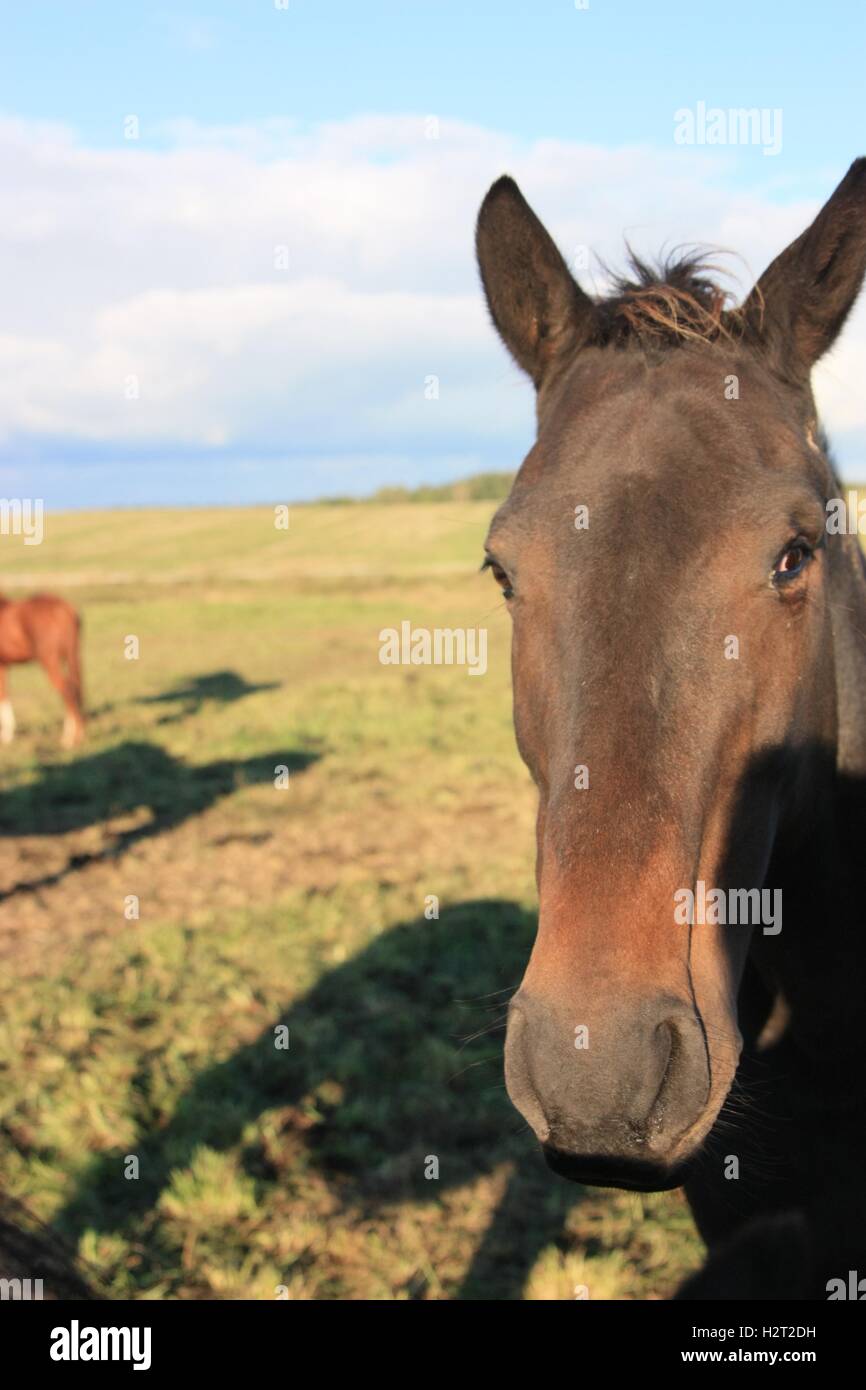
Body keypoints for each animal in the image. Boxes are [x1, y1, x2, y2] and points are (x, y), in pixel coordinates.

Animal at [0, 594, 85, 748]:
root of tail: (65, 610)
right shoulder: (3, 665)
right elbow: (4, 694)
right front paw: (8, 734)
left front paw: (5, 736)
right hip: (71, 656)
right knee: (75, 688)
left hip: (49, 660)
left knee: (67, 691)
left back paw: (69, 739)